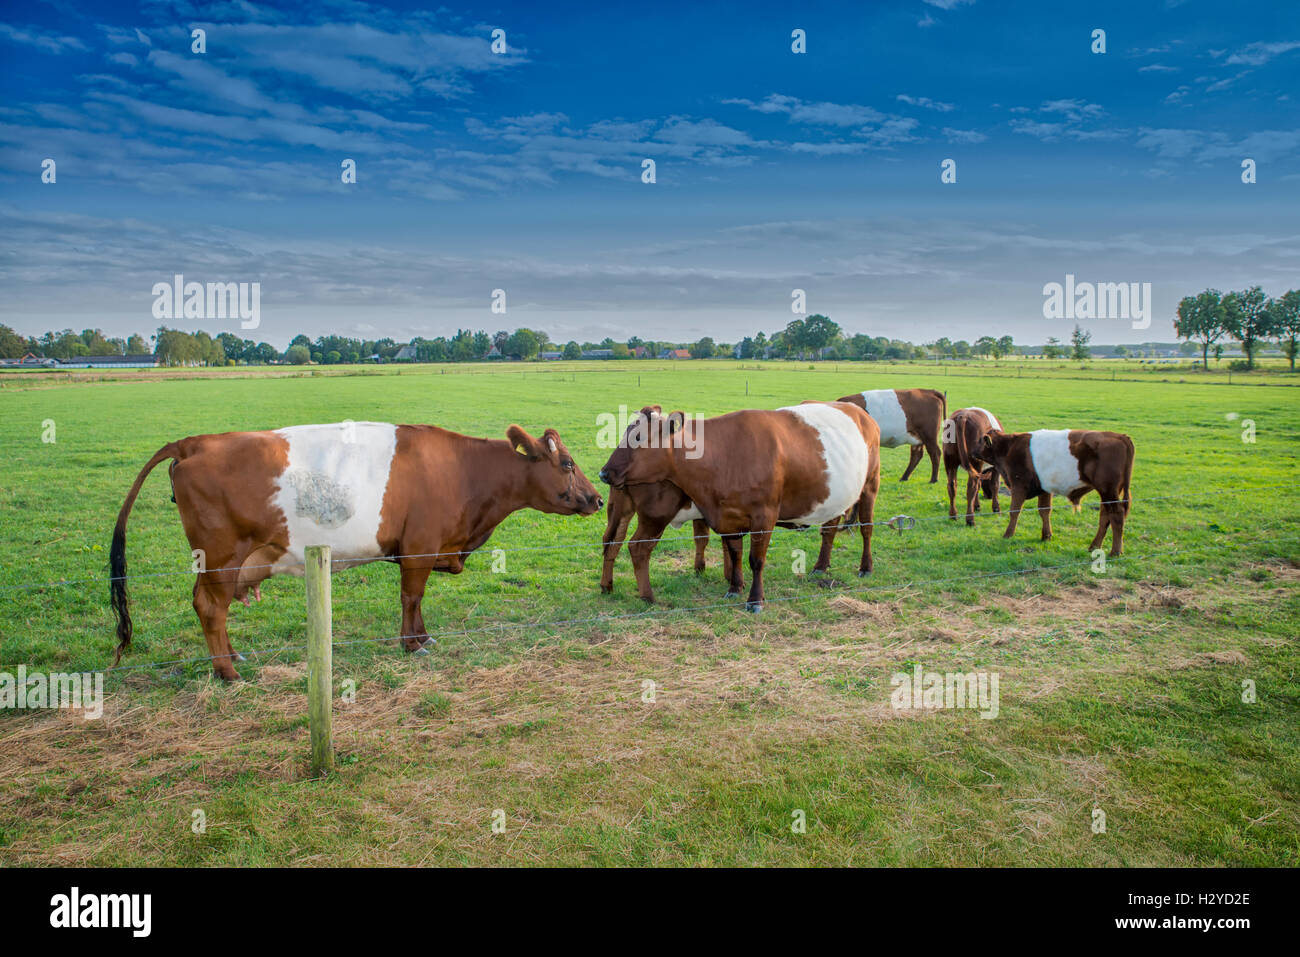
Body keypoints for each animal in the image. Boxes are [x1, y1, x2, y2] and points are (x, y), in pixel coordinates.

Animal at [110, 421, 602, 680]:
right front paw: (412, 644)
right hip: (219, 557)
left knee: (213, 606)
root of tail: (195, 442)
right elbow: (412, 596)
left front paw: (423, 637)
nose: (597, 498)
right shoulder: (420, 548)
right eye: (566, 463)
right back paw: (227, 674)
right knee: (211, 607)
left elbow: (415, 599)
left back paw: (232, 658)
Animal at [598, 402, 880, 611]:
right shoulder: (727, 516)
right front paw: (734, 588)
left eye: (638, 437)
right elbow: (734, 553)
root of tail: (860, 412)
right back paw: (820, 566)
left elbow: (756, 559)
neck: (724, 457)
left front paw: (755, 599)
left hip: (870, 484)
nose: (603, 472)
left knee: (866, 528)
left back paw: (865, 568)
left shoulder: (764, 515)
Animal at [979, 429, 1135, 556]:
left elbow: (1014, 511)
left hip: (1108, 491)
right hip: (1107, 494)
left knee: (1117, 515)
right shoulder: (1044, 488)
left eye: (980, 441)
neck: (1009, 447)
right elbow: (1044, 511)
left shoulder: (1019, 486)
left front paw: (1008, 534)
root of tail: (1120, 436)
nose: (973, 451)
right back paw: (1094, 546)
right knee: (1105, 516)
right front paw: (1046, 536)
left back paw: (1115, 551)